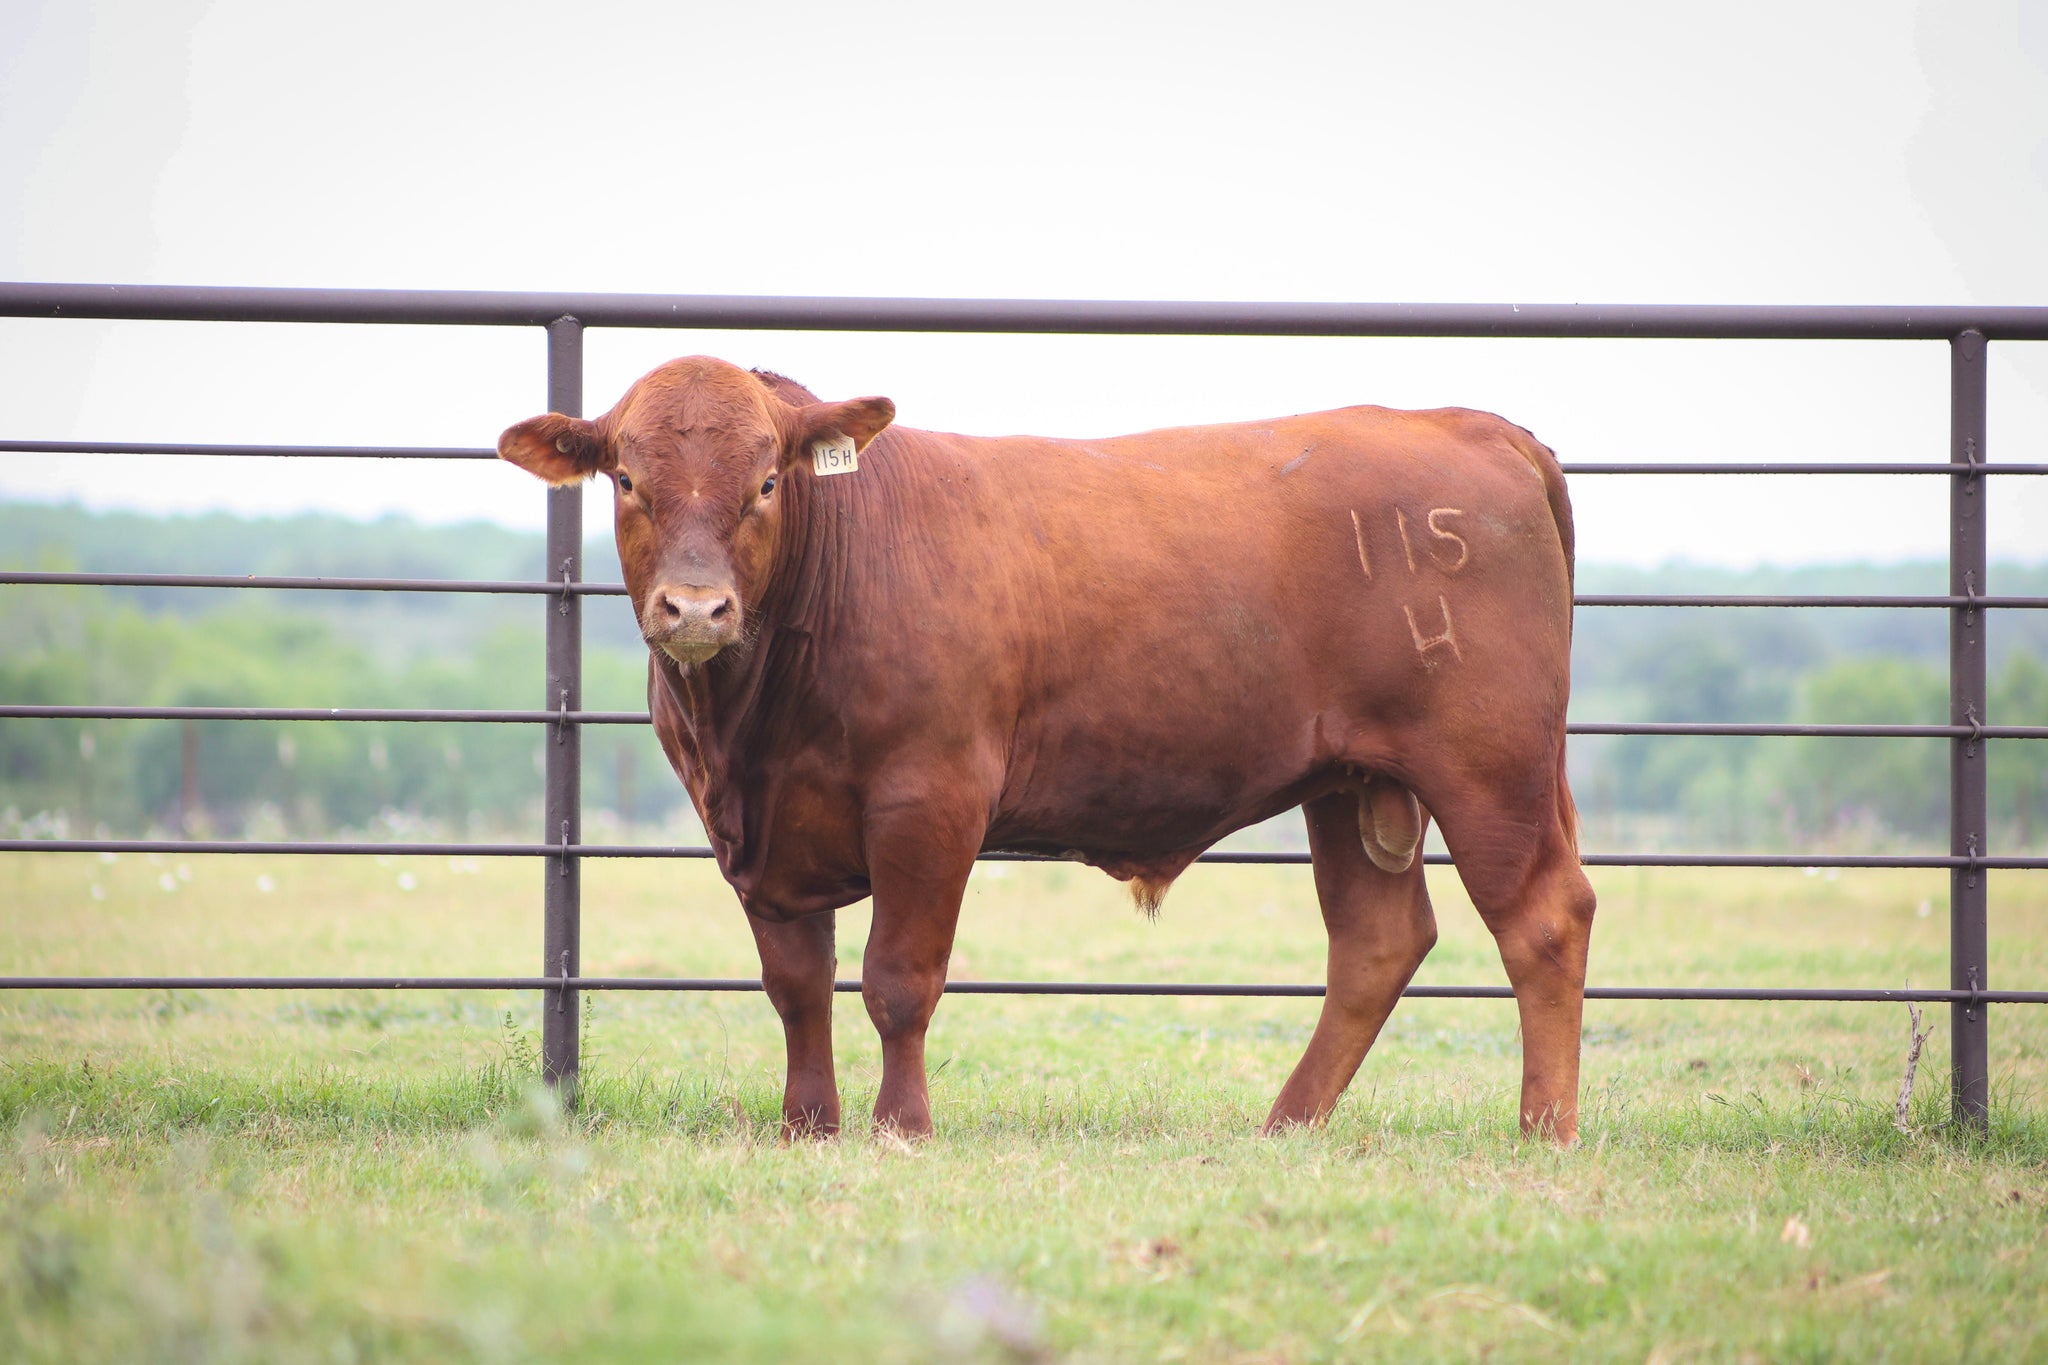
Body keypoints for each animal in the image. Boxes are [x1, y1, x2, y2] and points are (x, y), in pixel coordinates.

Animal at [499, 357, 1596, 1143]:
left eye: (767, 480)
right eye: (627, 479)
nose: (695, 608)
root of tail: (1465, 423)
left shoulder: (930, 798)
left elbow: (897, 979)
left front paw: (902, 1127)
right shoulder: (757, 834)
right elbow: (797, 985)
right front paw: (807, 1126)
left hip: (1488, 761)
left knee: (1542, 916)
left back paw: (1542, 1128)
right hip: (1352, 782)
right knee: (1375, 942)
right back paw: (1288, 1125)